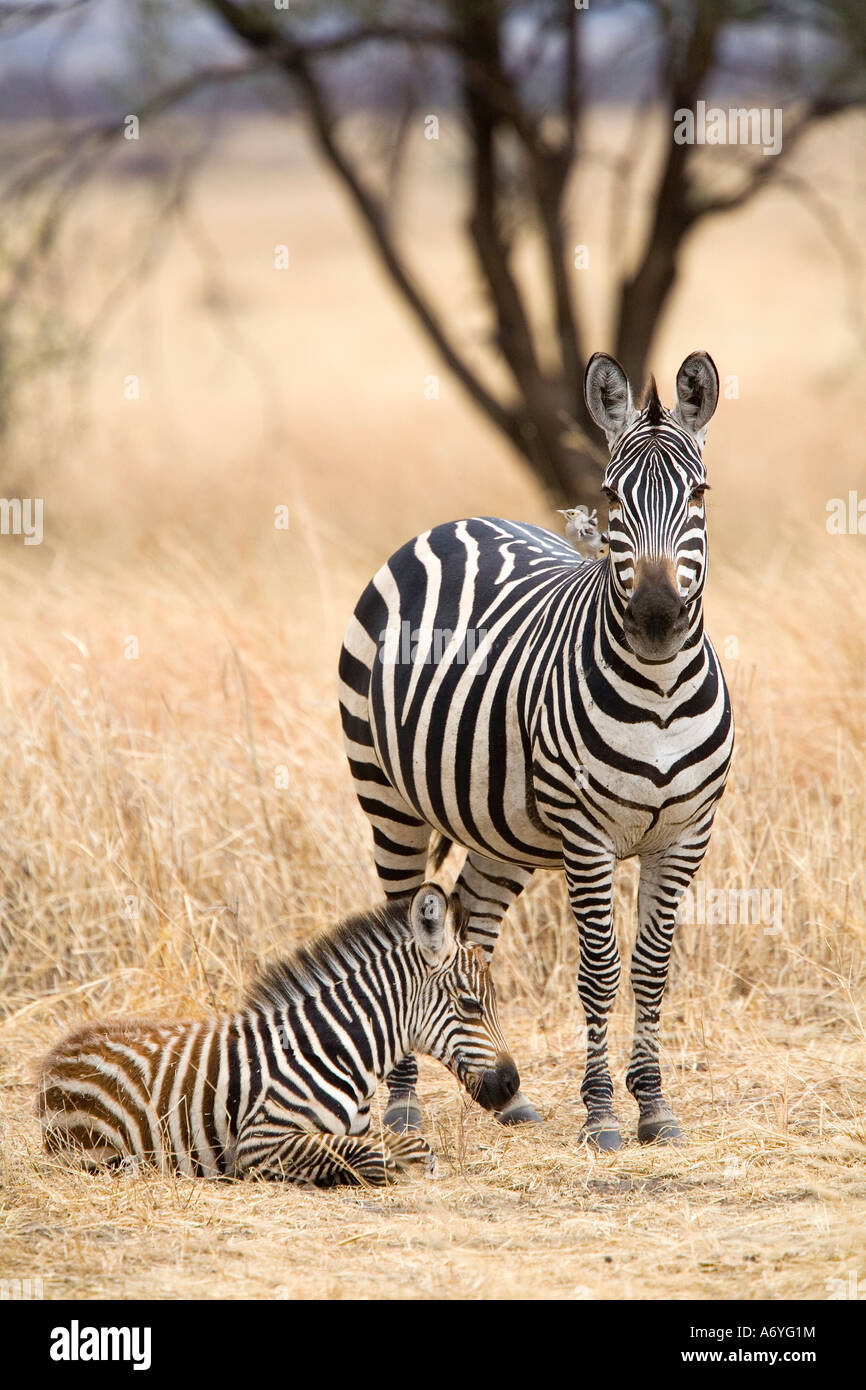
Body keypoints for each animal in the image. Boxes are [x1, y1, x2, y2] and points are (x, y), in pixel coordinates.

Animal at [38, 884, 519, 1185]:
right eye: (471, 1005)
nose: (511, 1085)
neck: (337, 1050)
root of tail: (57, 1054)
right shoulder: (259, 1141)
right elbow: (372, 1155)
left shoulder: (362, 1129)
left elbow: (413, 1145)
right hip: (101, 1151)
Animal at [339, 351, 733, 1149]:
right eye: (610, 496)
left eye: (700, 491)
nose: (655, 617)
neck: (661, 692)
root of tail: (456, 523)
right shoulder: (586, 835)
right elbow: (601, 971)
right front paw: (603, 1115)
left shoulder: (686, 835)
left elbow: (651, 970)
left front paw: (655, 1107)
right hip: (387, 800)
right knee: (405, 937)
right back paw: (403, 1106)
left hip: (503, 828)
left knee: (473, 922)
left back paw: (508, 1097)